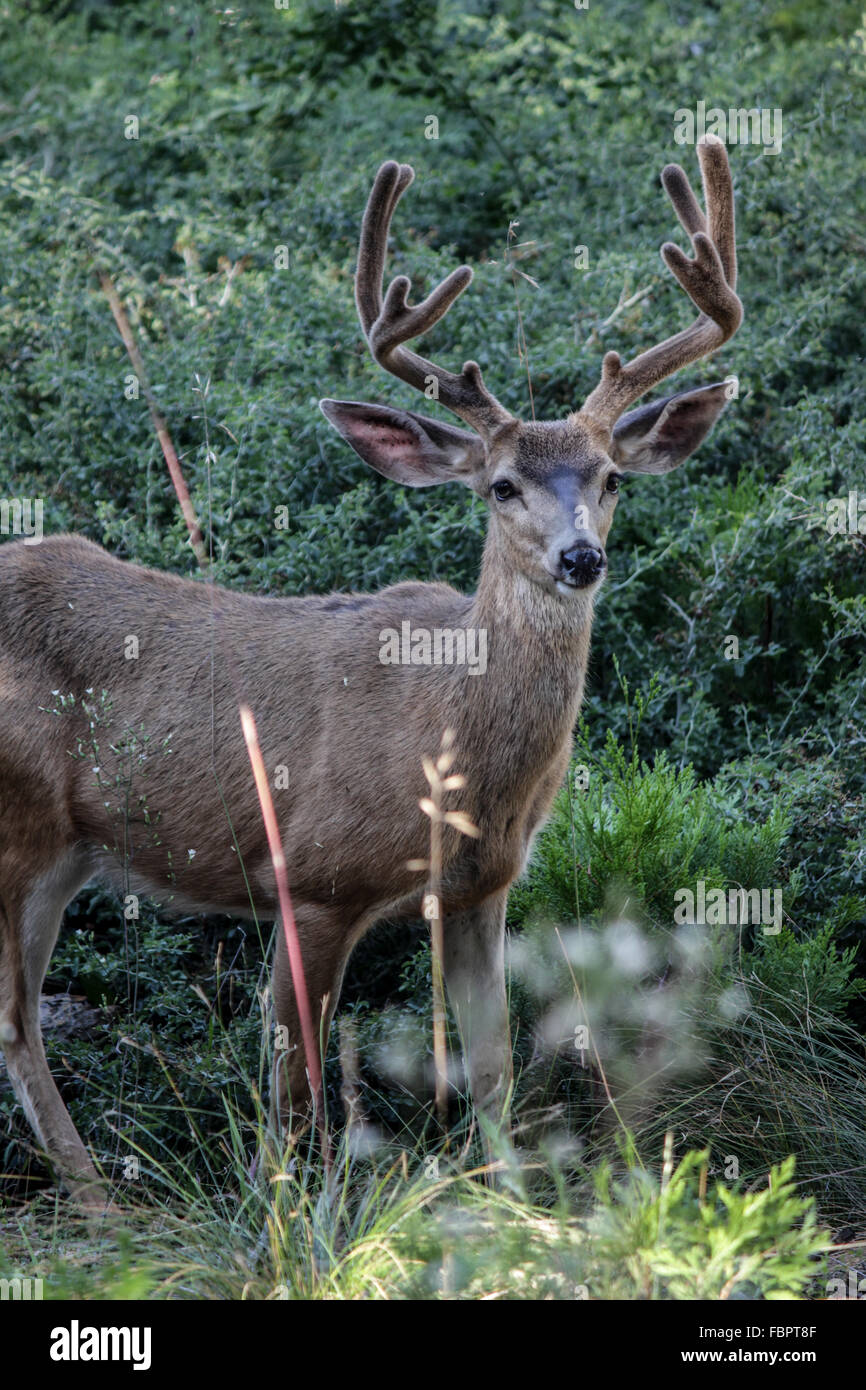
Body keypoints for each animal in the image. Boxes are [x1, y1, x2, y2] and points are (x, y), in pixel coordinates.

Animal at [0, 135, 741, 1207]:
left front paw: (513, 1206)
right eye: (501, 485)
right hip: (21, 821)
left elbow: (491, 1063)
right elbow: (289, 1084)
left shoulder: (480, 887)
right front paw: (288, 1213)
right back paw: (98, 1198)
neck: (448, 733)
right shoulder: (310, 876)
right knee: (16, 1023)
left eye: (609, 478)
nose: (581, 557)